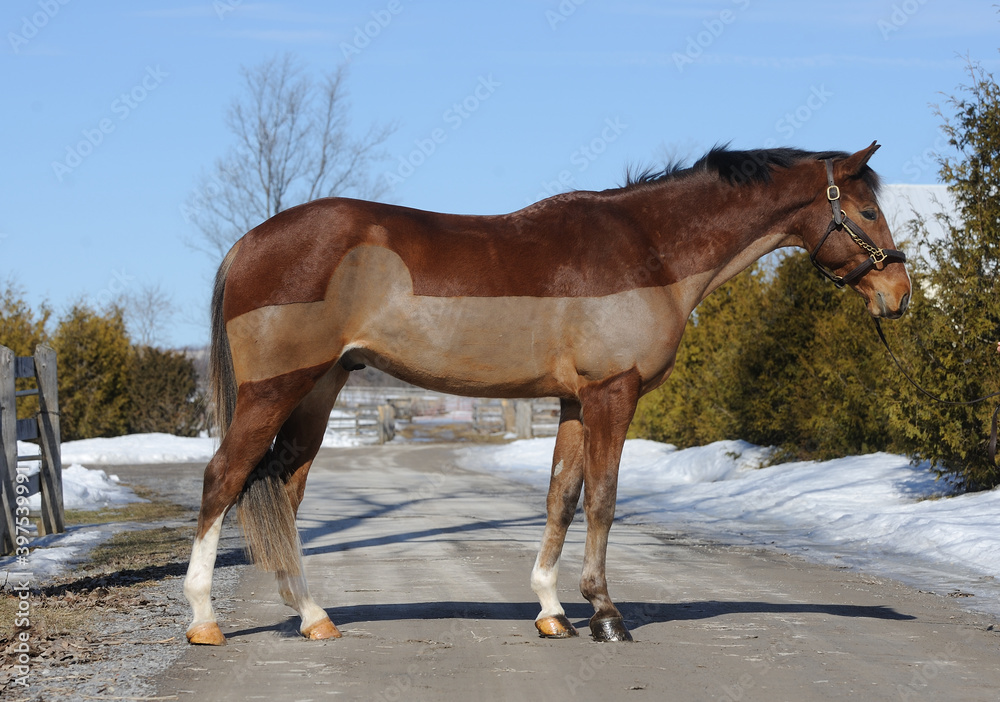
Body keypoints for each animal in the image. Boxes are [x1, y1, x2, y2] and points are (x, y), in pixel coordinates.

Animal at [183, 142, 910, 645]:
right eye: (868, 210)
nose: (898, 295)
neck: (651, 251)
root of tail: (249, 243)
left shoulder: (573, 403)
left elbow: (561, 497)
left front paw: (554, 611)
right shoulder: (614, 394)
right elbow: (603, 500)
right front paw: (607, 614)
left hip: (319, 391)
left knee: (283, 489)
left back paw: (313, 617)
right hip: (276, 389)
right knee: (224, 478)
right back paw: (204, 620)